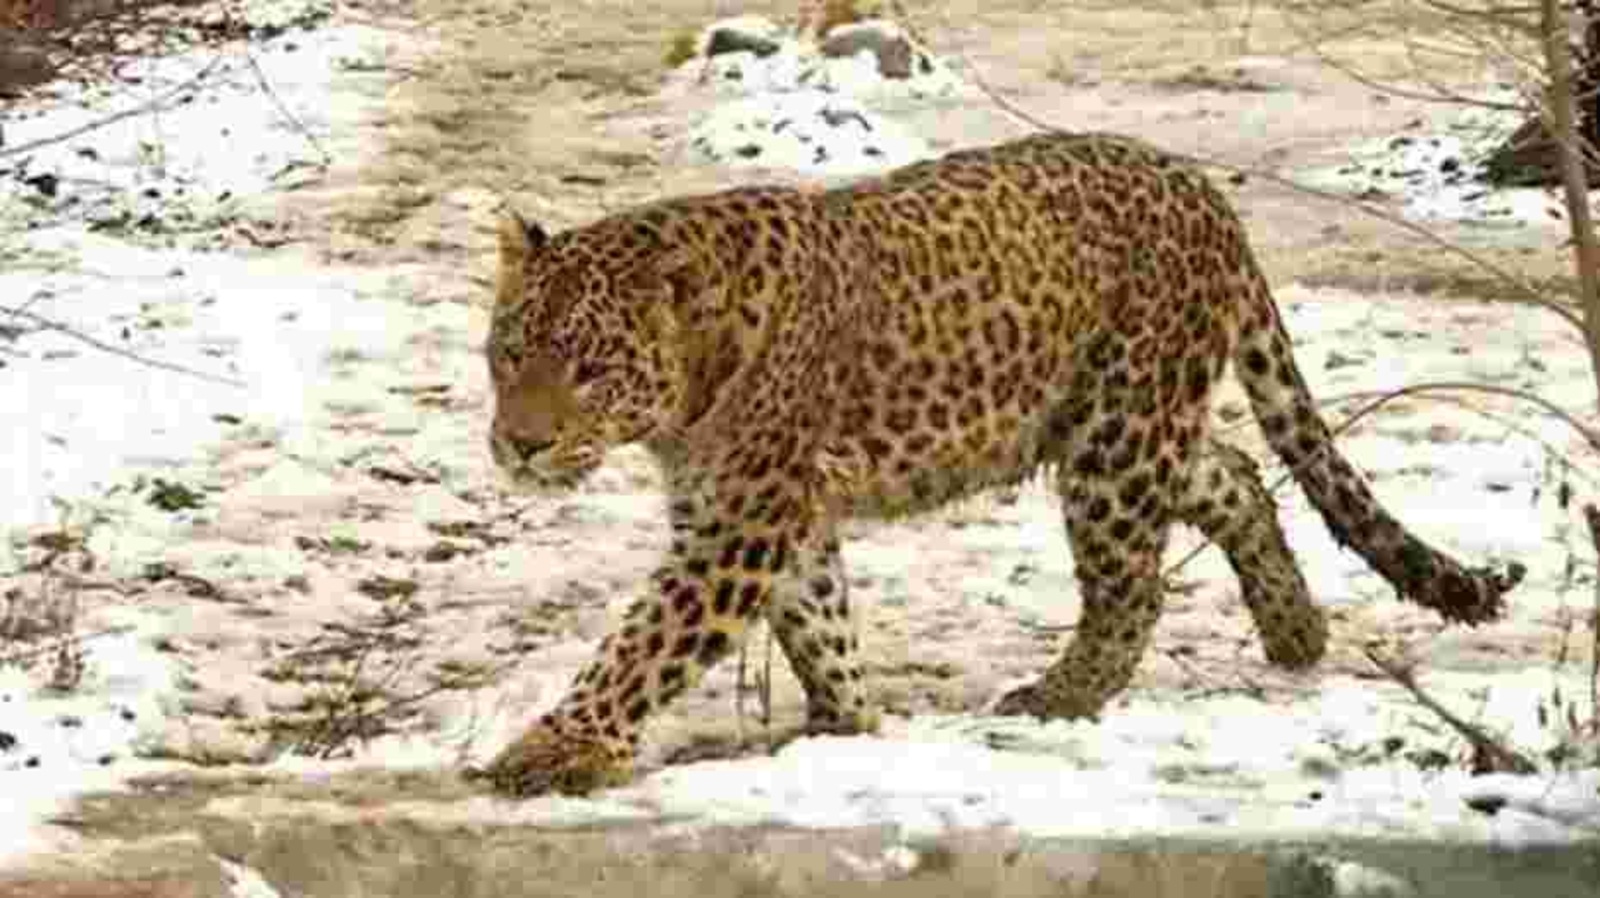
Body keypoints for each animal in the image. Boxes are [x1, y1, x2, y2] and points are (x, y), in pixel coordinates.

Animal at [479, 131, 1524, 798]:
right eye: (509, 352)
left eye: (592, 368)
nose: (520, 443)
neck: (695, 371)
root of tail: (1204, 191)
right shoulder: (767, 512)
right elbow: (820, 623)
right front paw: (845, 729)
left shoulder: (746, 518)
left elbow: (648, 639)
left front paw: (554, 752)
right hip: (1115, 425)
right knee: (1229, 471)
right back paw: (1293, 629)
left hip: (1118, 433)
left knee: (1134, 584)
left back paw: (1059, 698)